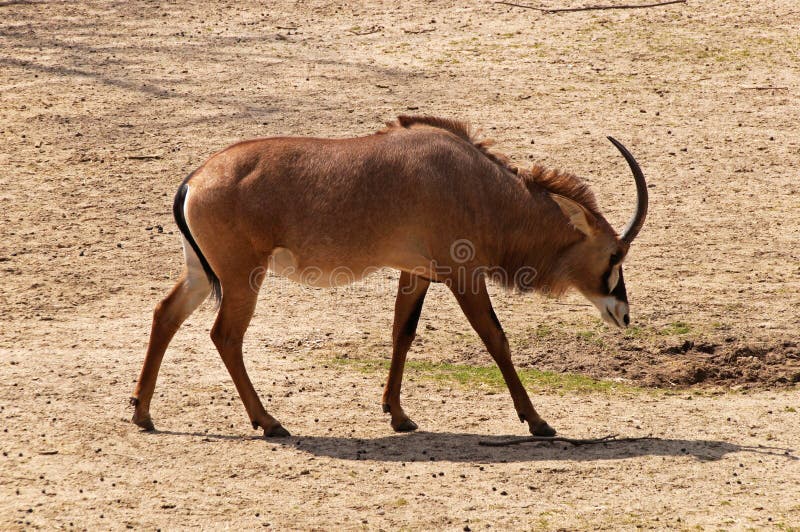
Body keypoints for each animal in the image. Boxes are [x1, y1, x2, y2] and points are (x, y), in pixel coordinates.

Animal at [130, 116, 648, 438]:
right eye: (615, 253)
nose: (623, 315)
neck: (480, 186)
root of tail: (195, 179)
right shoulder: (463, 274)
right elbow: (496, 339)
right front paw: (537, 421)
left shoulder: (414, 273)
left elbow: (403, 333)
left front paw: (397, 415)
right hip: (242, 278)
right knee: (225, 335)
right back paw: (269, 422)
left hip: (203, 273)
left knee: (165, 314)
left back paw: (143, 413)